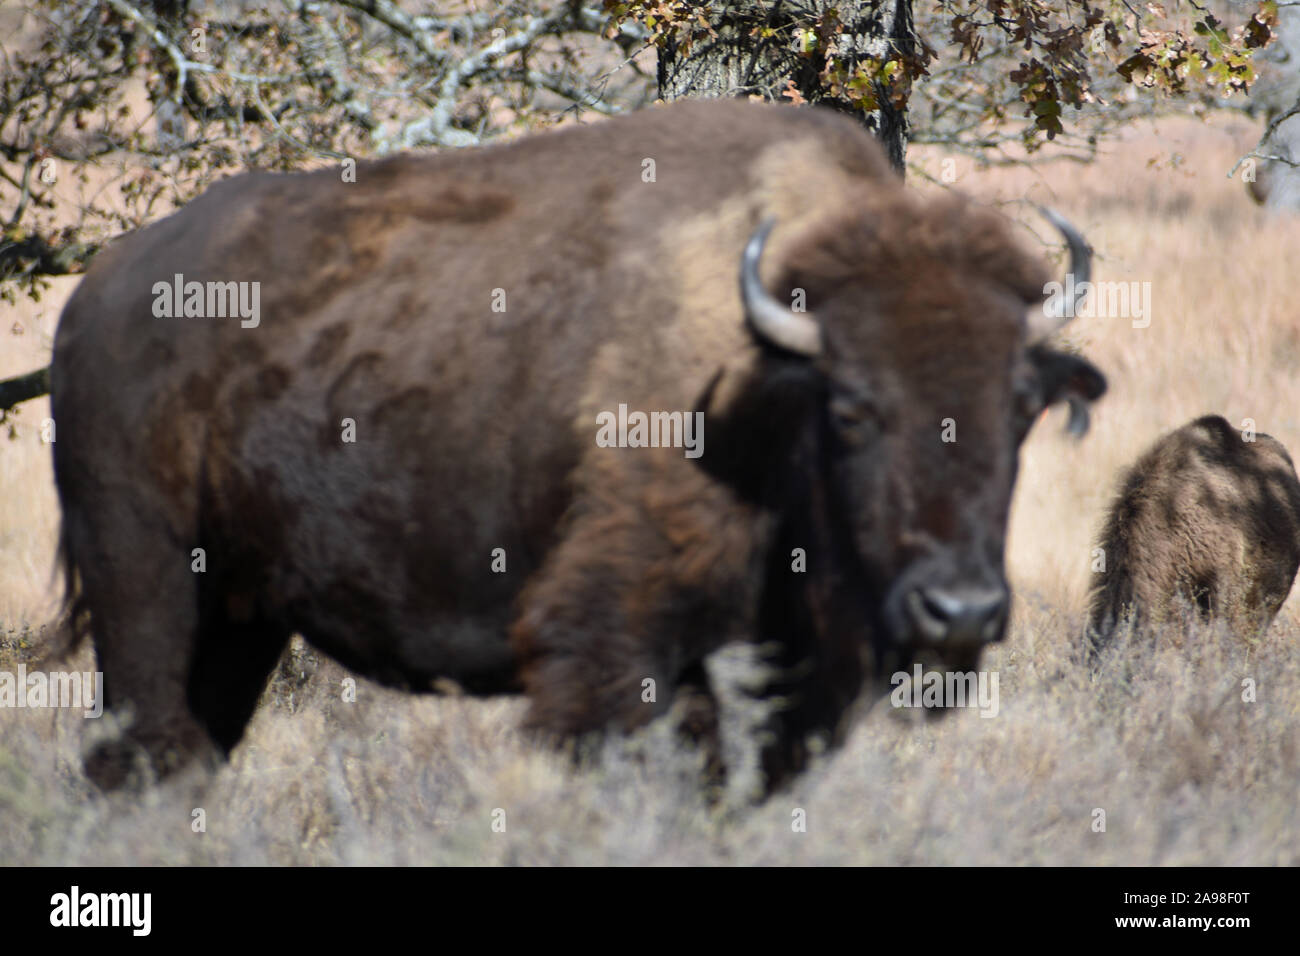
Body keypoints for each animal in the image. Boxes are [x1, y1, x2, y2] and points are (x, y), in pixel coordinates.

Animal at [51, 98, 1105, 791]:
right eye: (851, 408)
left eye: (1022, 405)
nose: (959, 611)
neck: (763, 384)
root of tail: (96, 295)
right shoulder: (610, 649)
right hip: (145, 579)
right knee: (141, 750)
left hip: (242, 610)